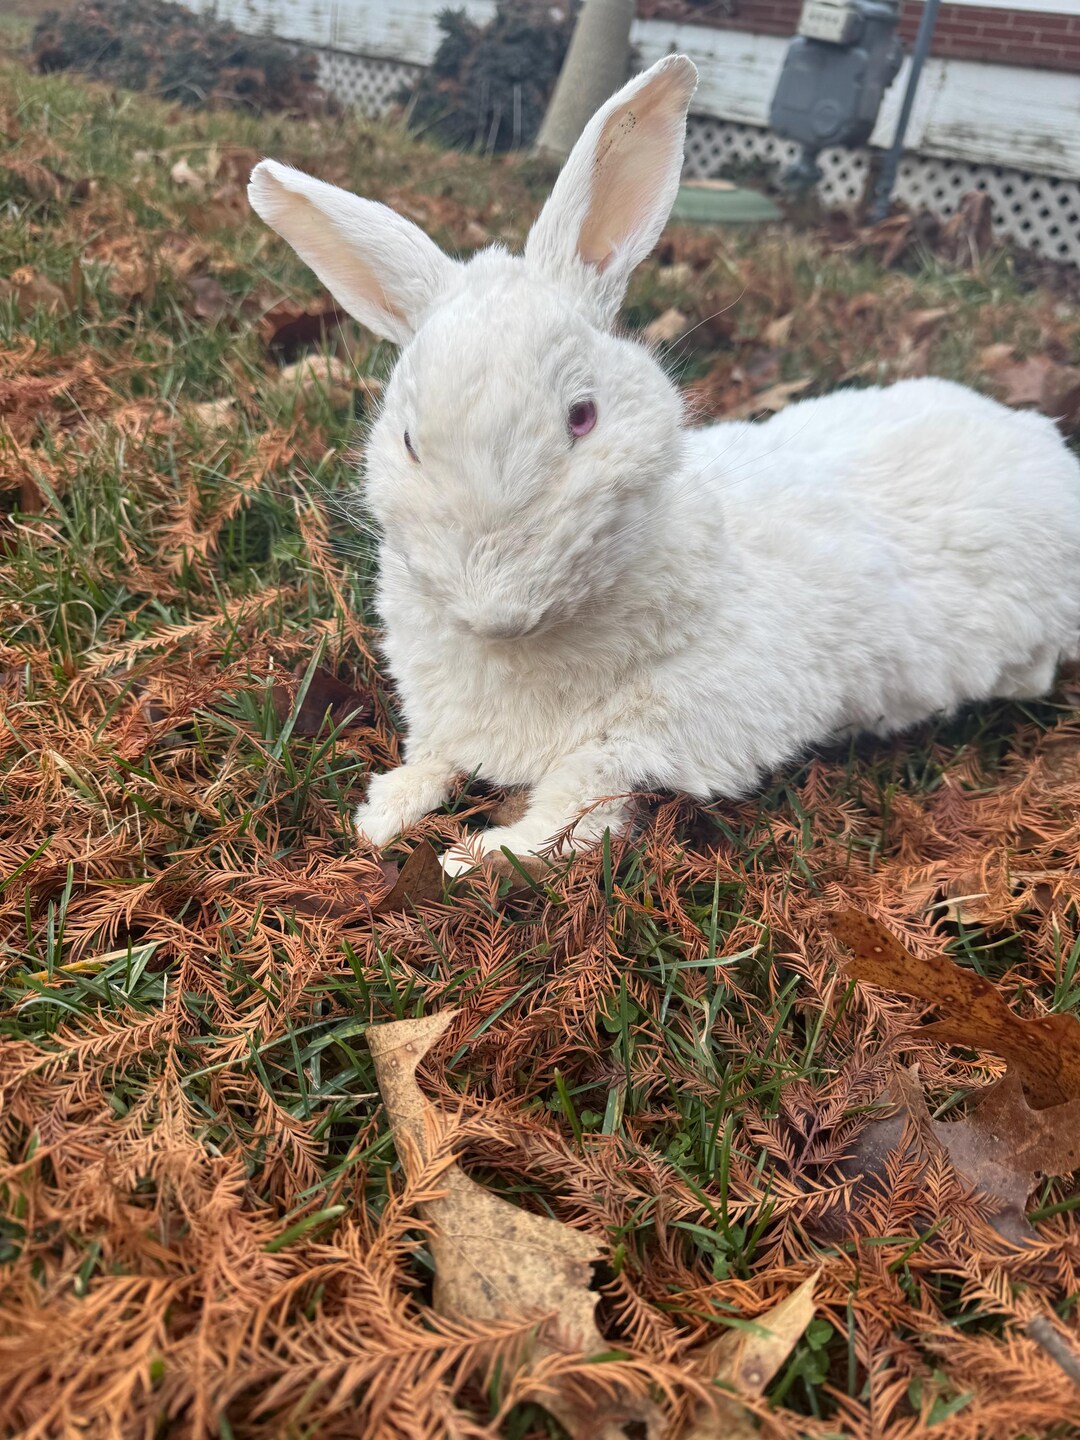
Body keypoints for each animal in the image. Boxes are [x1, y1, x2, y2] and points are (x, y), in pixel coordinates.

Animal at [248, 54, 1080, 876]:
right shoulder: (447, 715)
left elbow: (579, 803)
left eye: (583, 416)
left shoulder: (658, 728)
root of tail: (1043, 443)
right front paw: (380, 815)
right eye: (410, 441)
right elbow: (434, 760)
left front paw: (478, 854)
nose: (495, 608)